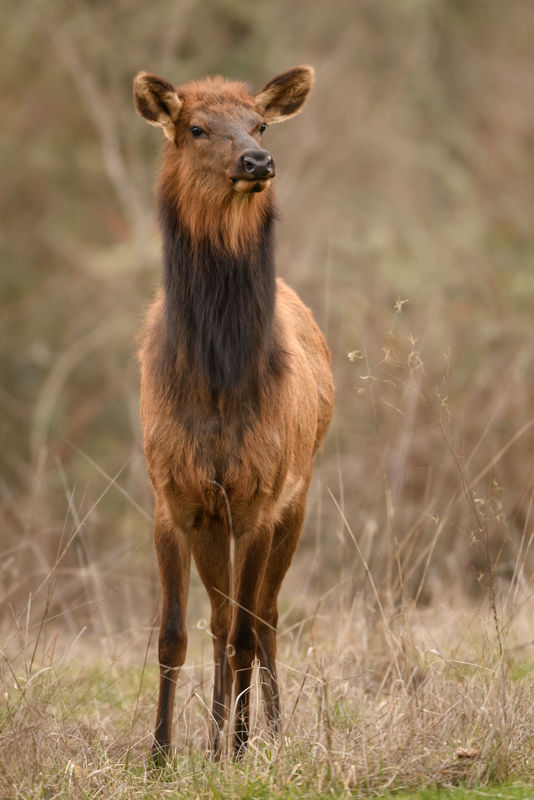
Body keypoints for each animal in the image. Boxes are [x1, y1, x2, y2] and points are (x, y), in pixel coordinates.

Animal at [133, 64, 334, 761]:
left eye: (261, 123)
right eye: (196, 127)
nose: (257, 161)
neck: (219, 386)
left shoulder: (261, 496)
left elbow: (246, 629)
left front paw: (242, 751)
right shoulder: (175, 495)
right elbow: (174, 635)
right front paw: (161, 755)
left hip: (298, 497)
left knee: (262, 617)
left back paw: (264, 731)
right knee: (221, 621)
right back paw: (219, 733)